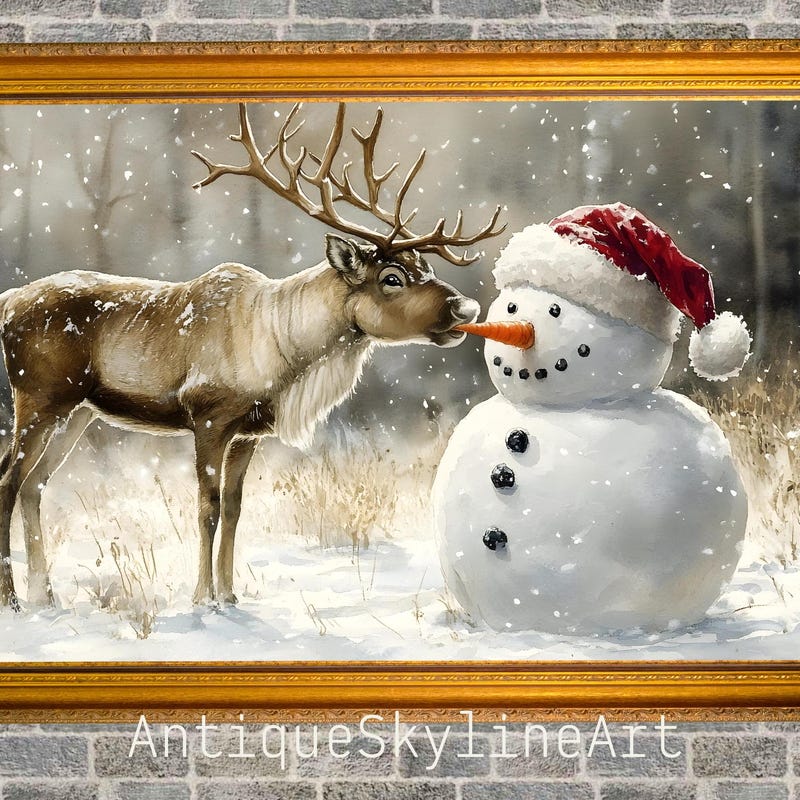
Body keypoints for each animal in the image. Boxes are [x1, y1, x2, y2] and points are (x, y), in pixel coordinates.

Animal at [0, 102, 505, 612]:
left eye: (428, 266)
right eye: (392, 278)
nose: (467, 308)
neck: (284, 357)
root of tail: (8, 300)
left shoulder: (247, 432)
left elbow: (236, 508)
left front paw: (229, 594)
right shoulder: (207, 417)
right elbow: (208, 507)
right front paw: (202, 598)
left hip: (77, 411)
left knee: (35, 484)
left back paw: (46, 596)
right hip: (37, 396)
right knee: (9, 479)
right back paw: (13, 599)